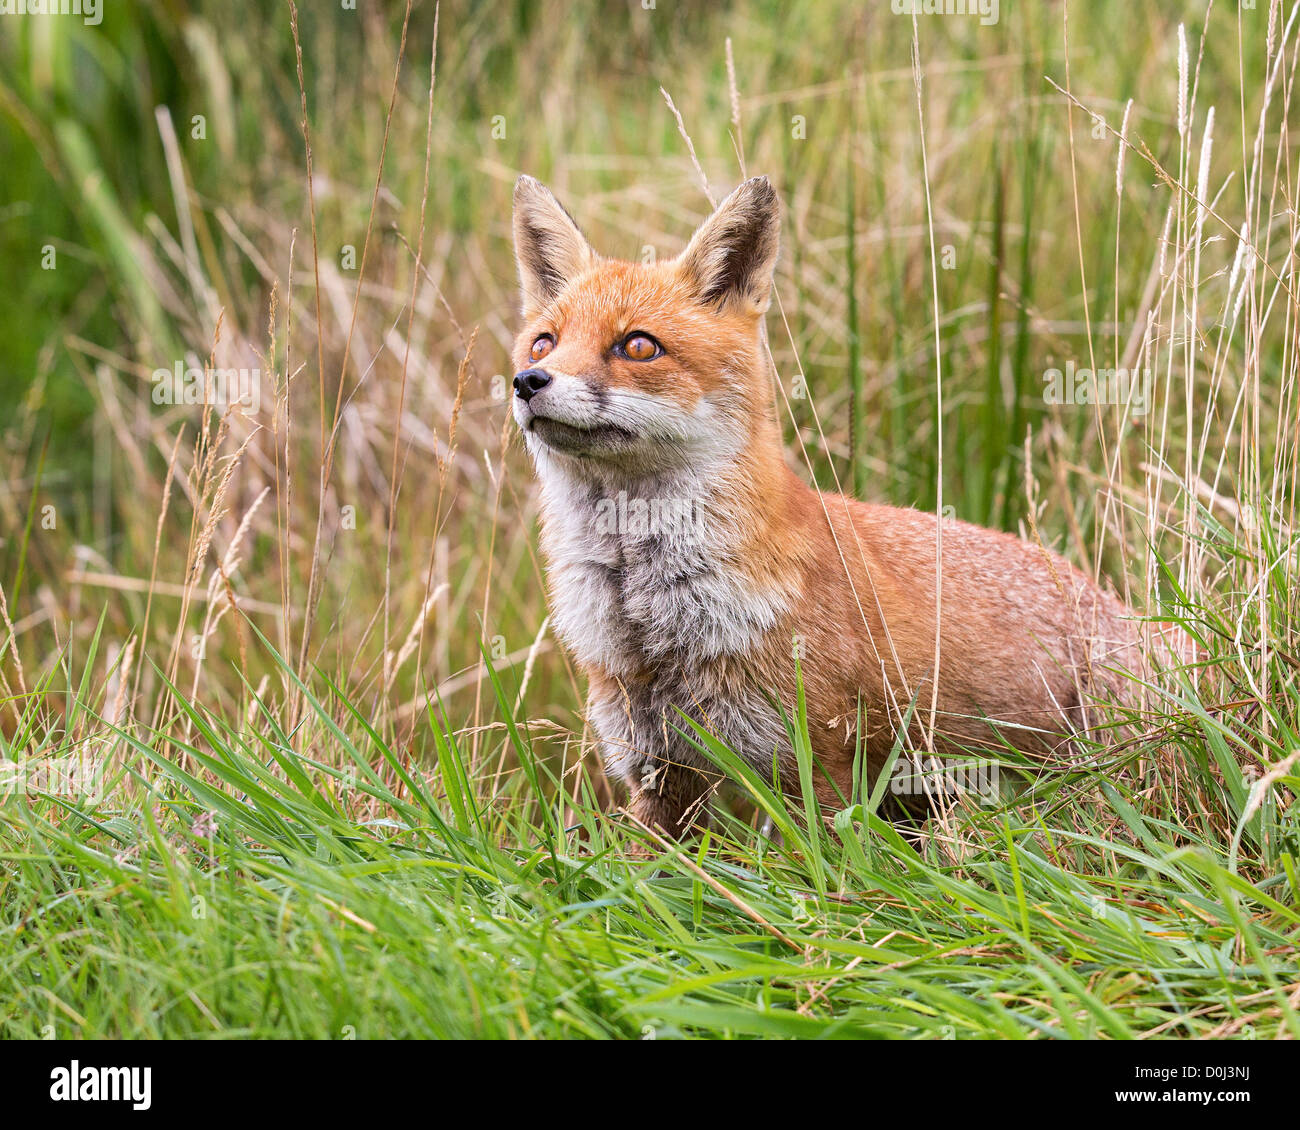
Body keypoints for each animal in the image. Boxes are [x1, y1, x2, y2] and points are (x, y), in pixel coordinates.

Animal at [509, 173, 1175, 839]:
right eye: (544, 343)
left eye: (639, 347)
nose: (527, 382)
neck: (651, 628)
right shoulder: (654, 773)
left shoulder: (816, 766)